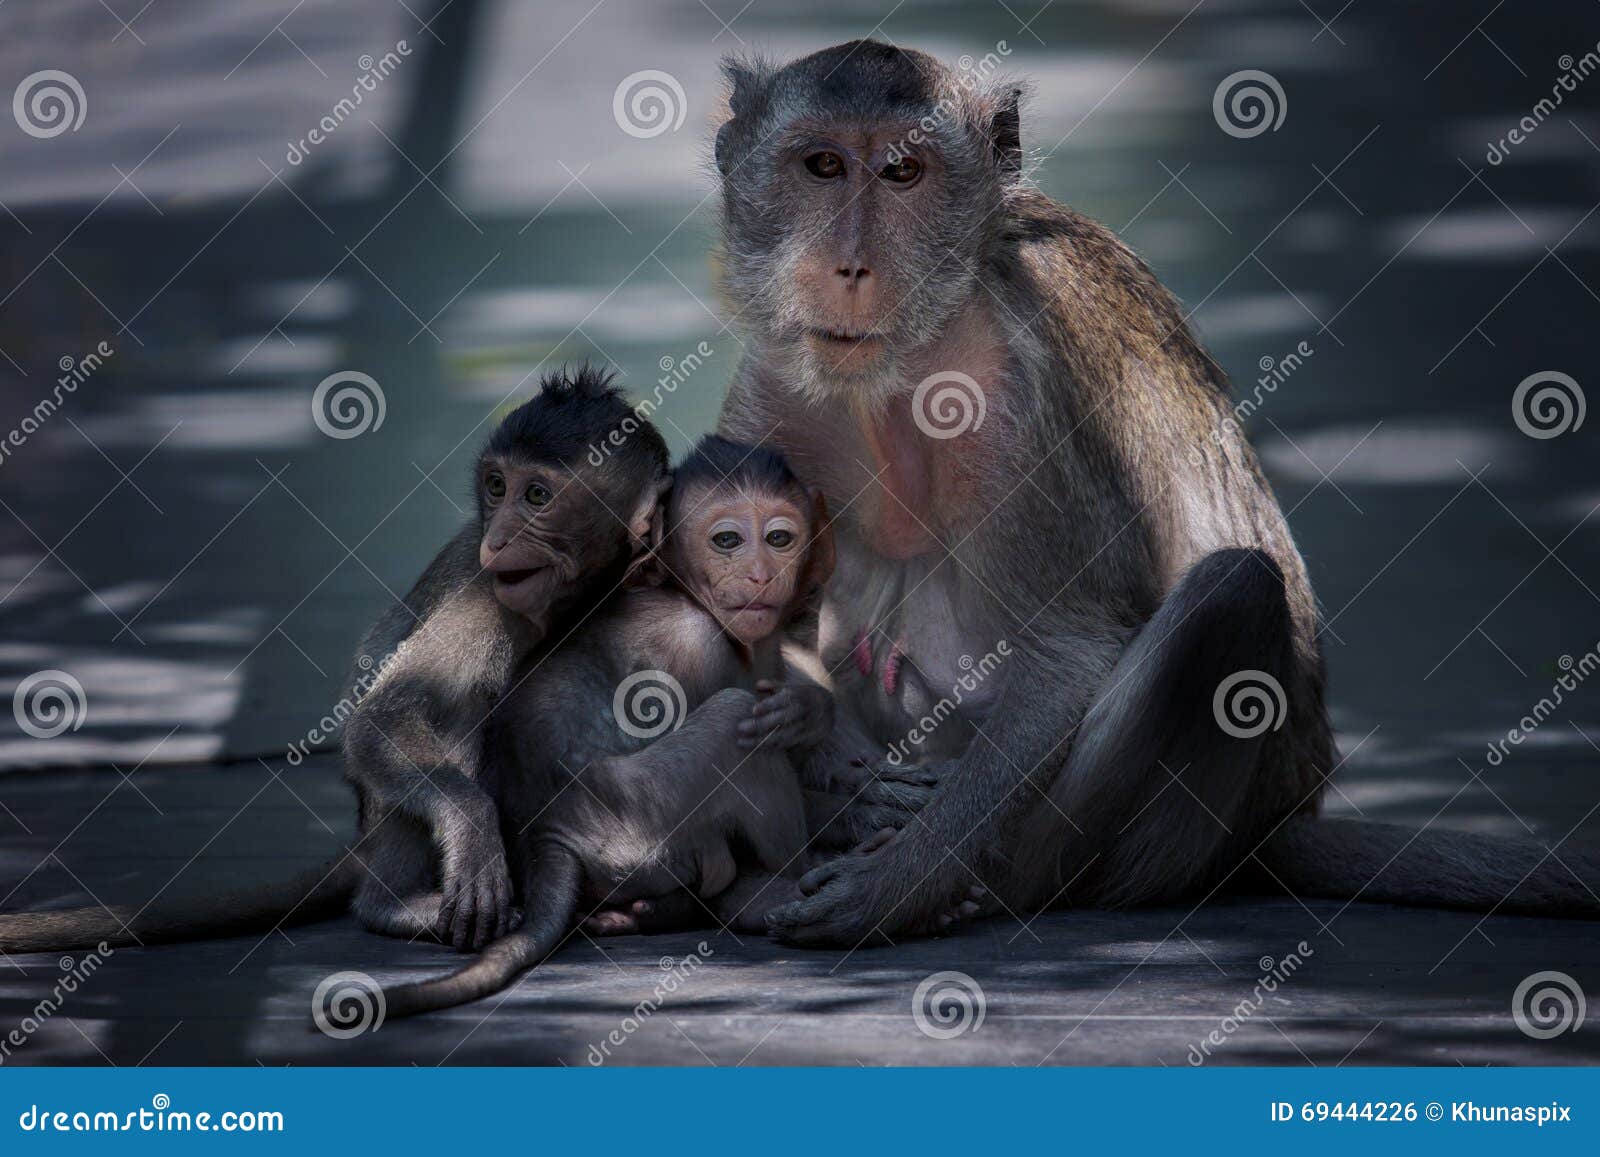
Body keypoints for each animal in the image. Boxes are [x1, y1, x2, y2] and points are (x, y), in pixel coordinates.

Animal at [0, 366, 673, 955]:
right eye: (497, 487)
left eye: (537, 496)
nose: (501, 536)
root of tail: (362, 846)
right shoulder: (486, 594)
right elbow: (385, 718)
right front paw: (472, 826)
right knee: (450, 712)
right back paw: (391, 906)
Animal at [375, 436, 836, 1018]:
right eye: (727, 541)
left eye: (779, 539)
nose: (759, 574)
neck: (683, 592)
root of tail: (544, 841)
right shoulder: (695, 647)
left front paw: (809, 712)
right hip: (632, 817)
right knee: (732, 722)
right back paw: (775, 892)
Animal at [701, 41, 1598, 946]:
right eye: (822, 166)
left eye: (902, 172)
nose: (849, 266)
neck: (905, 365)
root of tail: (1272, 818)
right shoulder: (774, 390)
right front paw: (848, 787)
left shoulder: (1015, 395)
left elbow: (1069, 652)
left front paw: (894, 886)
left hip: (1148, 833)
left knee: (1233, 591)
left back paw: (984, 886)